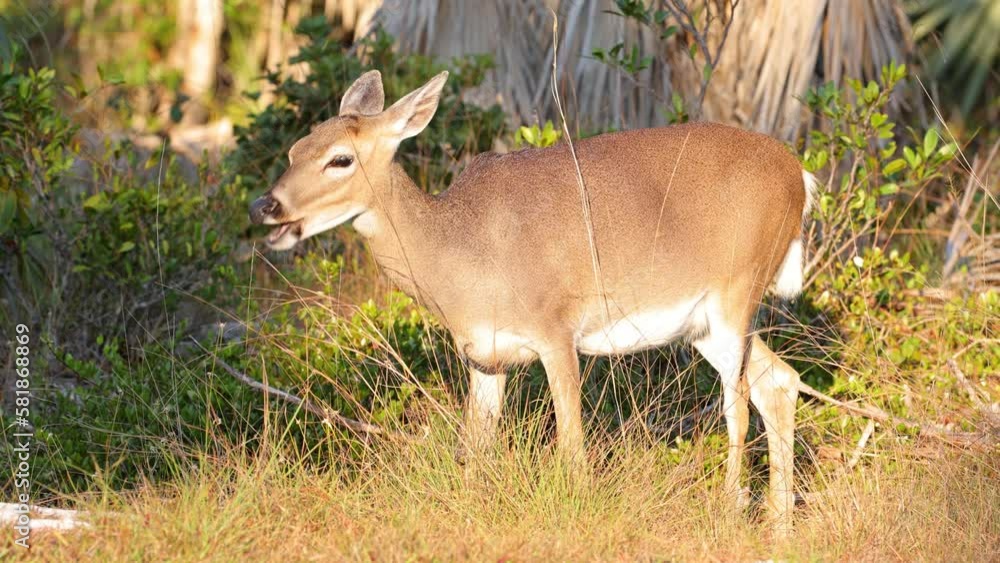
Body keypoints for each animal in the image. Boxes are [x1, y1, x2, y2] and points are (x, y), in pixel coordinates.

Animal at [248, 70, 814, 534]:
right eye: (296, 150)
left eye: (340, 158)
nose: (266, 205)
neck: (460, 254)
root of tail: (800, 177)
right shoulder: (485, 356)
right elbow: (474, 451)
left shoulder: (555, 328)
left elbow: (572, 449)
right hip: (703, 323)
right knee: (778, 381)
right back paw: (780, 527)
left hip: (736, 289)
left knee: (738, 402)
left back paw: (732, 512)